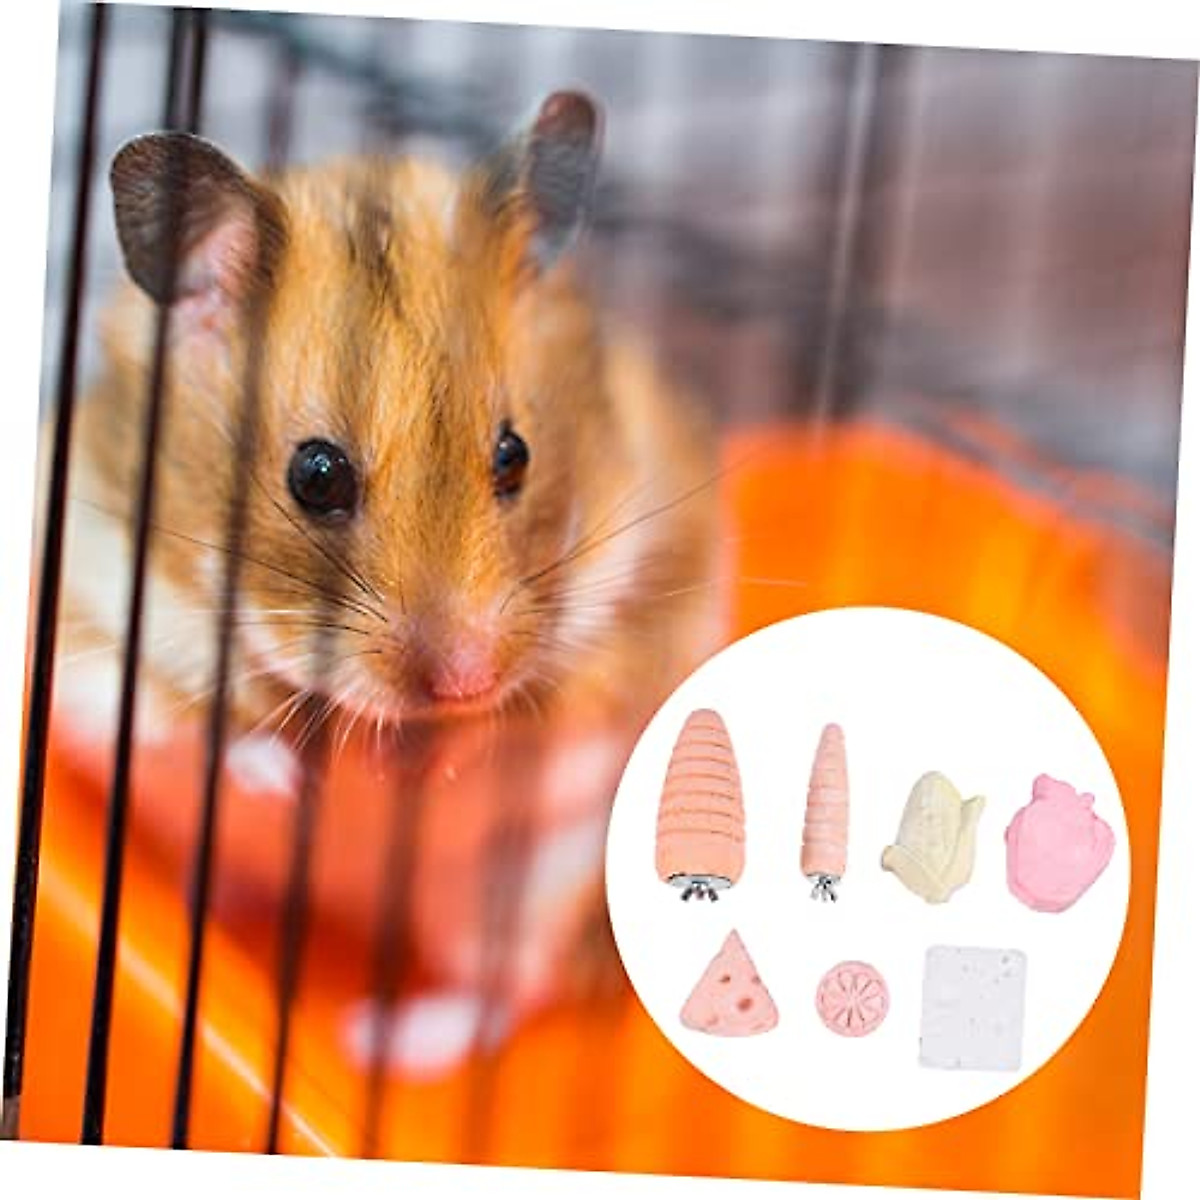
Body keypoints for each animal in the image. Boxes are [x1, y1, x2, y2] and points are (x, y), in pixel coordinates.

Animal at [46, 91, 727, 1072]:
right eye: (315, 475)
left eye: (516, 455)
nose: (467, 681)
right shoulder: (98, 609)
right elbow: (204, 721)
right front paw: (302, 779)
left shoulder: (632, 612)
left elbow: (535, 717)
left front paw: (418, 762)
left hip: (520, 897)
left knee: (503, 997)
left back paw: (375, 1039)